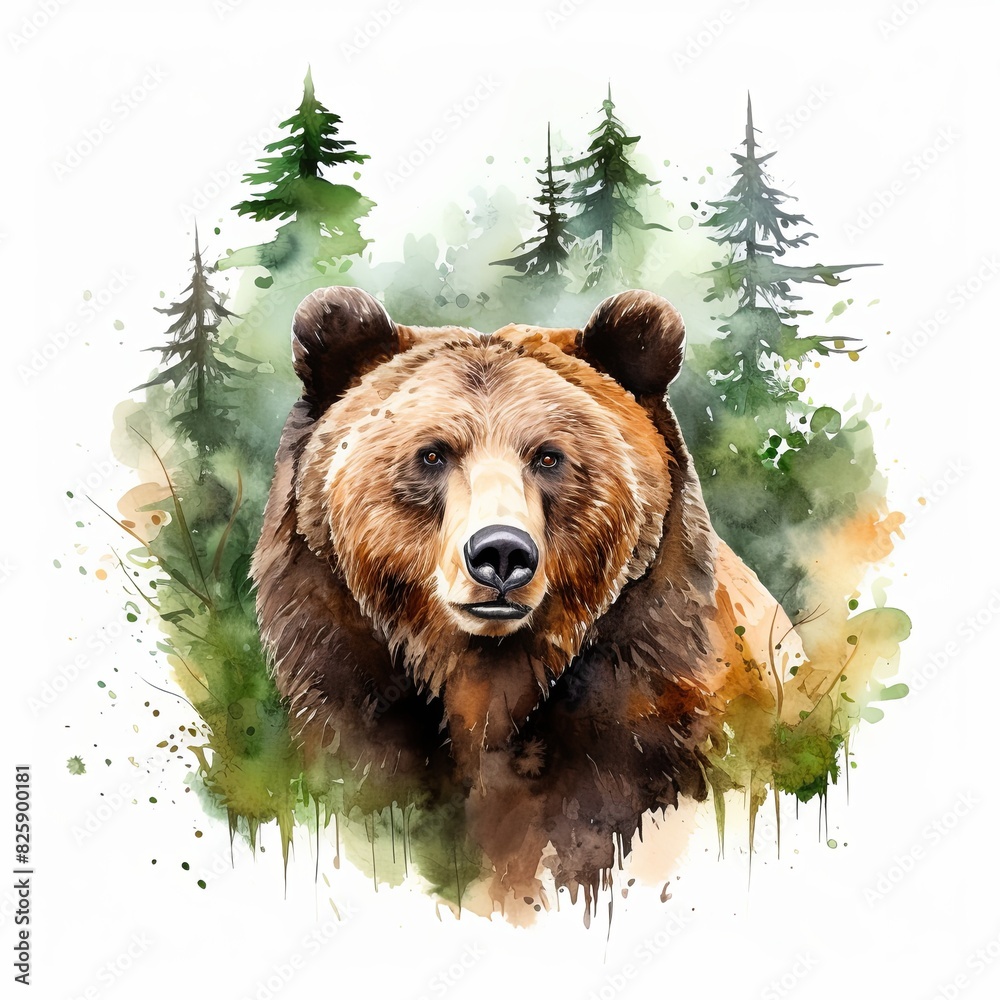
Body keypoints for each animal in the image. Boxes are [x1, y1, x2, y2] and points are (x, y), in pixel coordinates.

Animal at [251, 285, 795, 906]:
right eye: (433, 454)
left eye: (548, 456)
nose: (502, 553)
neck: (490, 682)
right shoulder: (353, 696)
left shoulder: (650, 724)